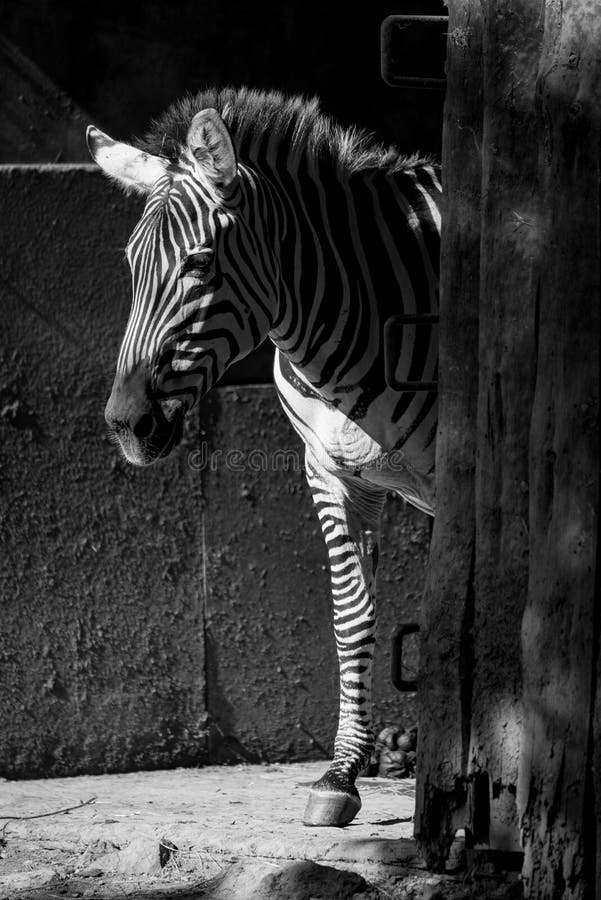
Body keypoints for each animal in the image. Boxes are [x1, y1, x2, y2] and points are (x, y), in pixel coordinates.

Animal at [87, 87, 441, 828]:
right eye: (131, 266)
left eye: (198, 265)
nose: (125, 426)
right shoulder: (330, 473)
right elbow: (352, 618)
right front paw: (342, 774)